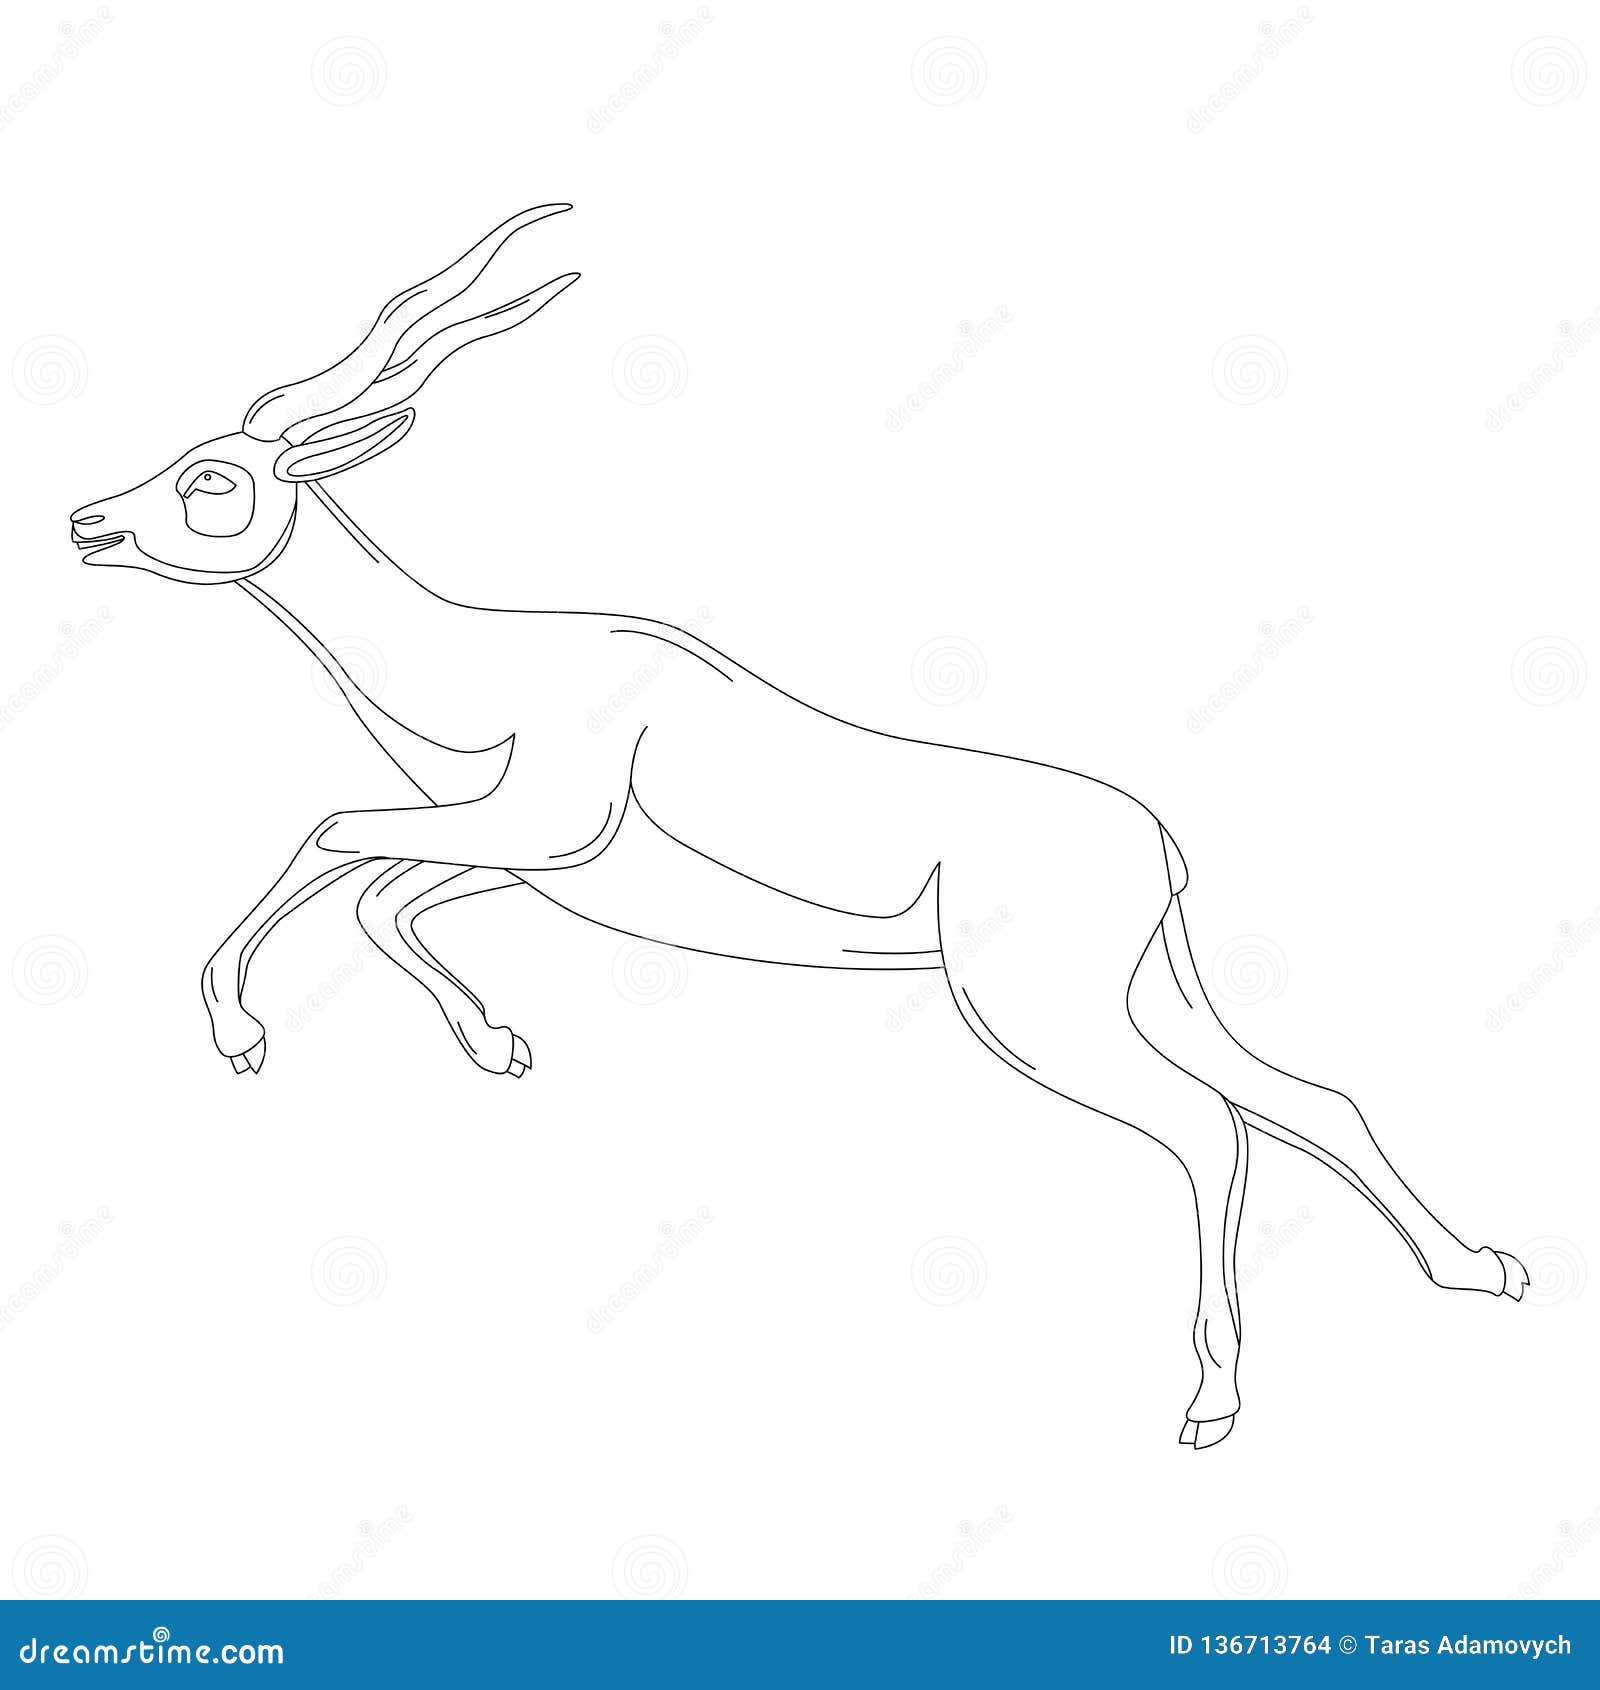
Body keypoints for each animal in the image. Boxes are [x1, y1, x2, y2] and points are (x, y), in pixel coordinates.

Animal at [69, 206, 1529, 1448]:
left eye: (210, 478)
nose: (85, 519)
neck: (472, 667)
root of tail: (1159, 845)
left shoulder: (543, 820)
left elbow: (330, 833)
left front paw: (239, 1031)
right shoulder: (530, 858)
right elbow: (383, 892)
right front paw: (495, 1043)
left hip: (1036, 1009)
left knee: (1210, 1126)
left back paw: (1212, 1403)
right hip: (1145, 991)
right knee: (1307, 1098)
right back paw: (1479, 1269)